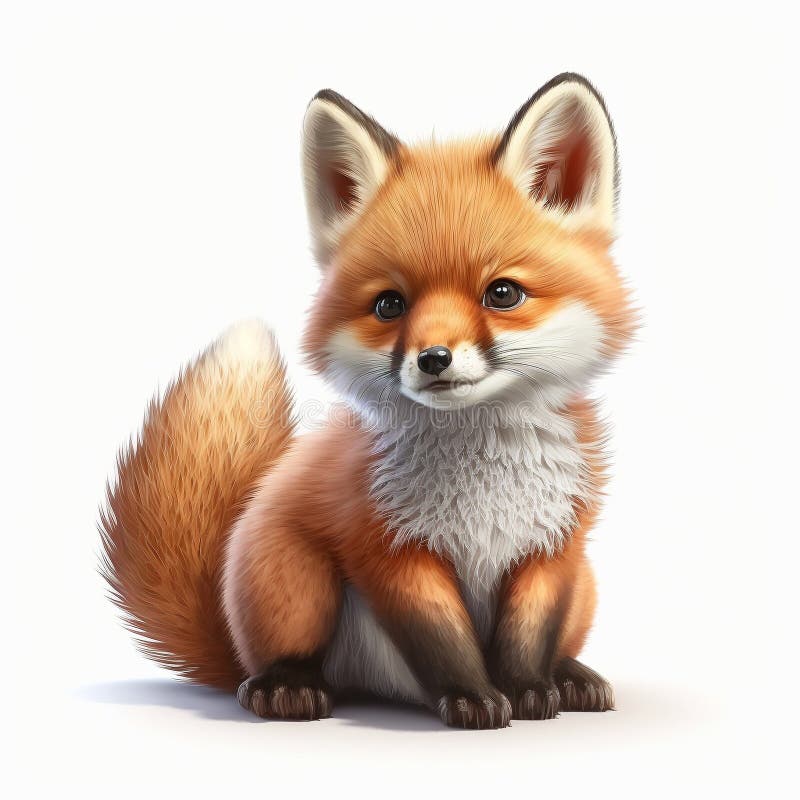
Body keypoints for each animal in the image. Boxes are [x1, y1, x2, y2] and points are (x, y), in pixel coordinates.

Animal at [100, 73, 634, 729]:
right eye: (389, 305)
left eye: (503, 293)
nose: (433, 359)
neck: (485, 492)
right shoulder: (387, 549)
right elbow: (442, 640)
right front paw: (473, 698)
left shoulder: (552, 549)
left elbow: (528, 637)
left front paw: (531, 690)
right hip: (296, 579)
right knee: (279, 665)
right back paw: (284, 687)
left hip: (586, 584)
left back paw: (573, 677)